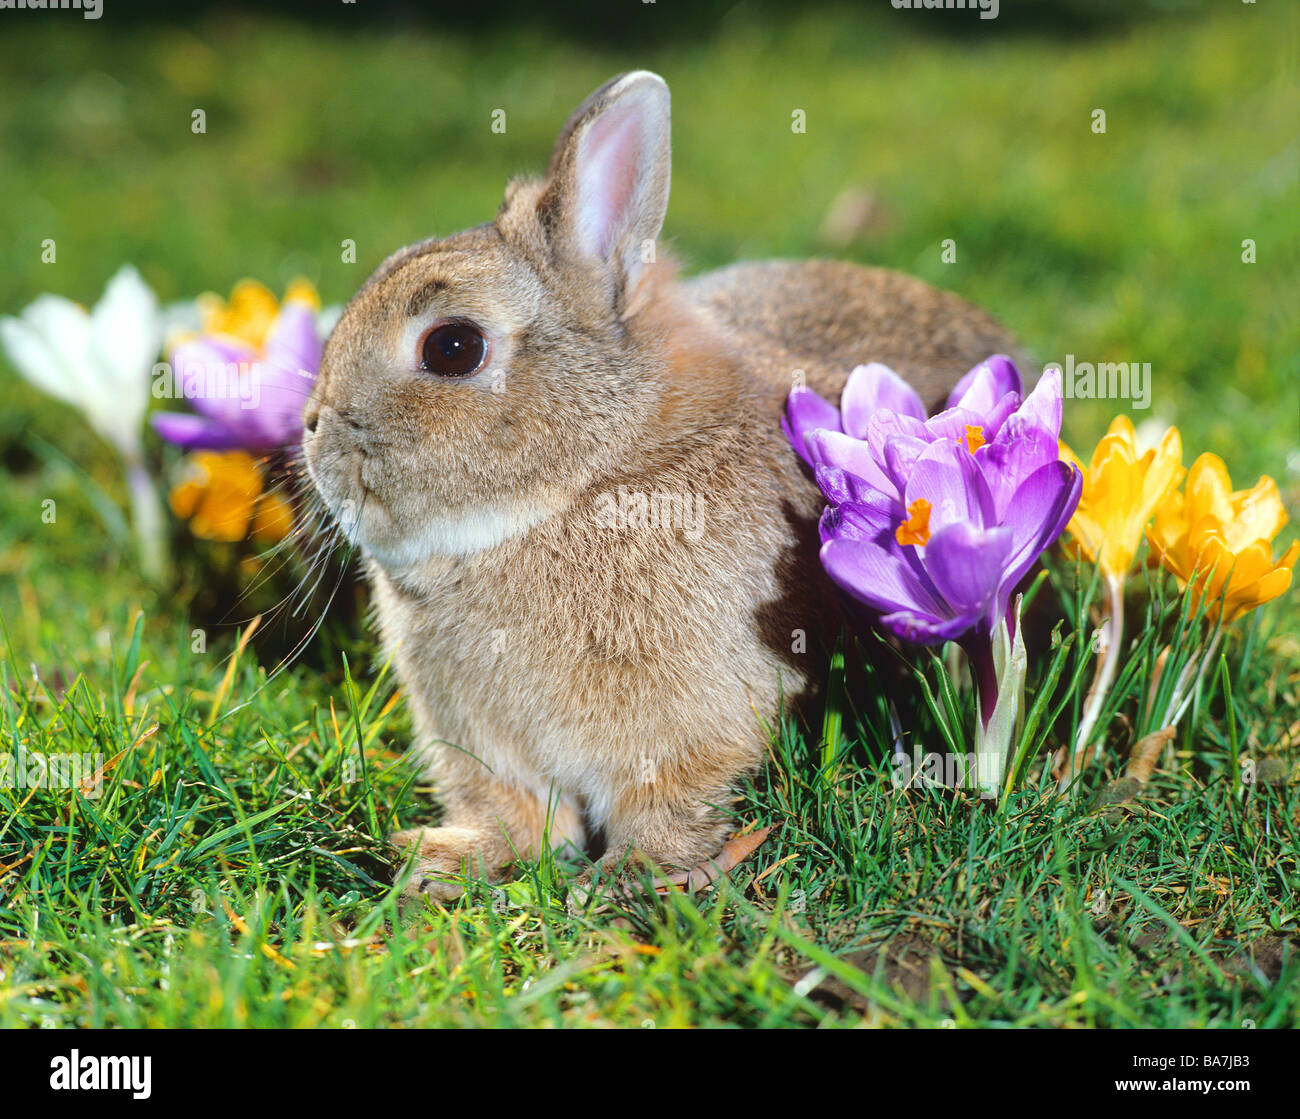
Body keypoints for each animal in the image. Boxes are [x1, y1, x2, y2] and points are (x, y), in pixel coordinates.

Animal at [301, 70, 1020, 900]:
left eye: (453, 347)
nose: (313, 431)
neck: (592, 476)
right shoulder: (482, 747)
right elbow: (510, 812)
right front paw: (455, 858)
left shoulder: (694, 731)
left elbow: (666, 802)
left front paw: (627, 875)